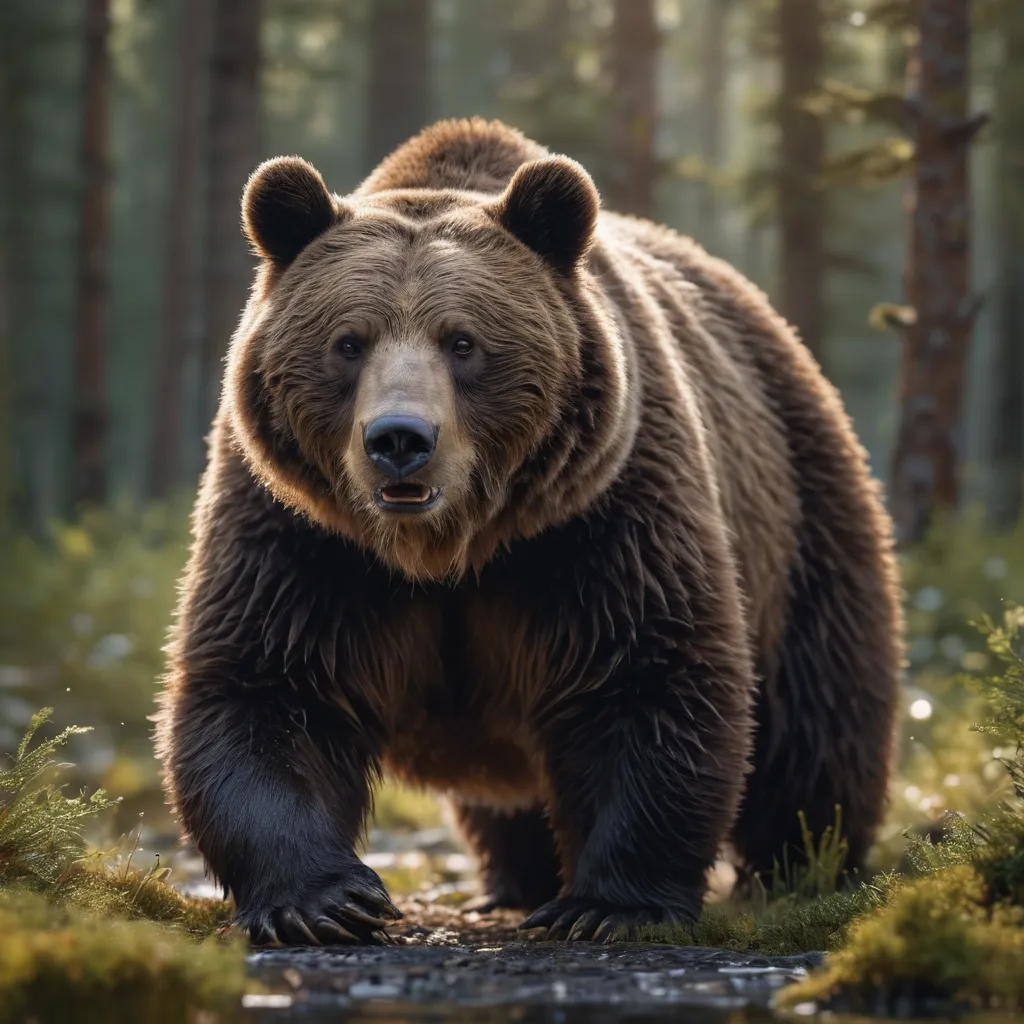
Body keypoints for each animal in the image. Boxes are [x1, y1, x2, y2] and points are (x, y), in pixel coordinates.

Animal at [154, 118, 902, 946]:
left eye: (463, 341)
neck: (448, 548)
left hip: (801, 508)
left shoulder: (598, 520)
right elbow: (269, 685)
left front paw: (609, 906)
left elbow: (645, 675)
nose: (399, 439)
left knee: (816, 720)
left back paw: (804, 866)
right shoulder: (303, 536)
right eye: (349, 341)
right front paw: (322, 901)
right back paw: (513, 879)